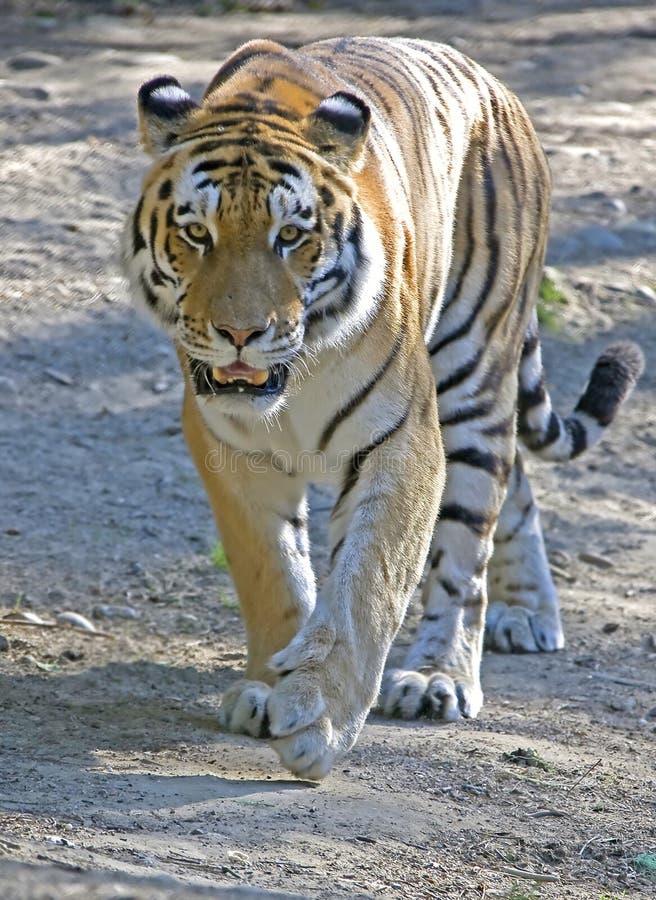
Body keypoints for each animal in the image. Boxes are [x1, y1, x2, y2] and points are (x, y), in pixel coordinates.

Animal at [123, 36, 643, 780]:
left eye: (290, 236)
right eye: (197, 233)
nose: (241, 334)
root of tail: (493, 84)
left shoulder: (402, 438)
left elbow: (368, 584)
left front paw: (319, 718)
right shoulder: (230, 445)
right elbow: (272, 573)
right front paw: (269, 689)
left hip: (471, 378)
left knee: (467, 550)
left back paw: (438, 676)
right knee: (518, 482)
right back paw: (527, 614)